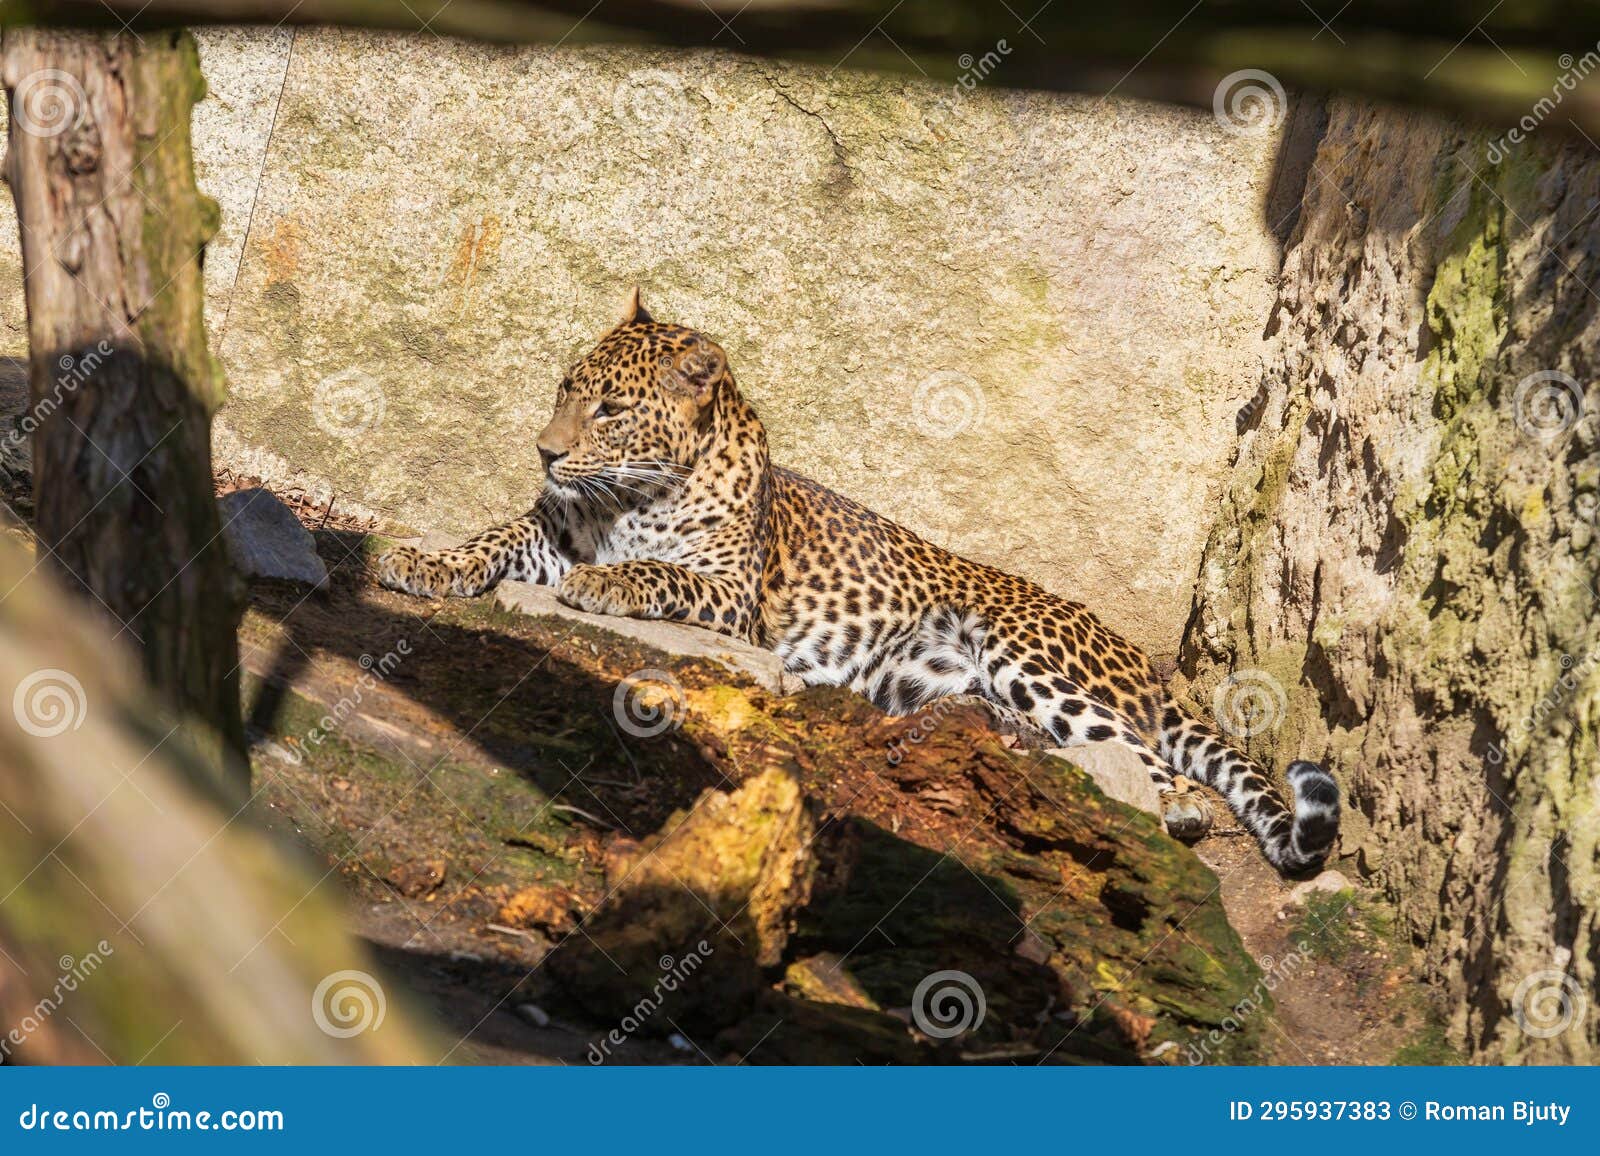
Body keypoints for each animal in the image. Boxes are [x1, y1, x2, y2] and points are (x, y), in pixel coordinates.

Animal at [377, 290, 1340, 873]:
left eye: (610, 410)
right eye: (564, 389)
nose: (544, 451)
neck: (633, 494)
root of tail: (1140, 657)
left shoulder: (730, 594)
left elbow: (655, 569)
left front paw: (608, 586)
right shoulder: (547, 531)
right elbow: (489, 537)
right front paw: (416, 562)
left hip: (1029, 654)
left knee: (1152, 763)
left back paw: (1170, 808)